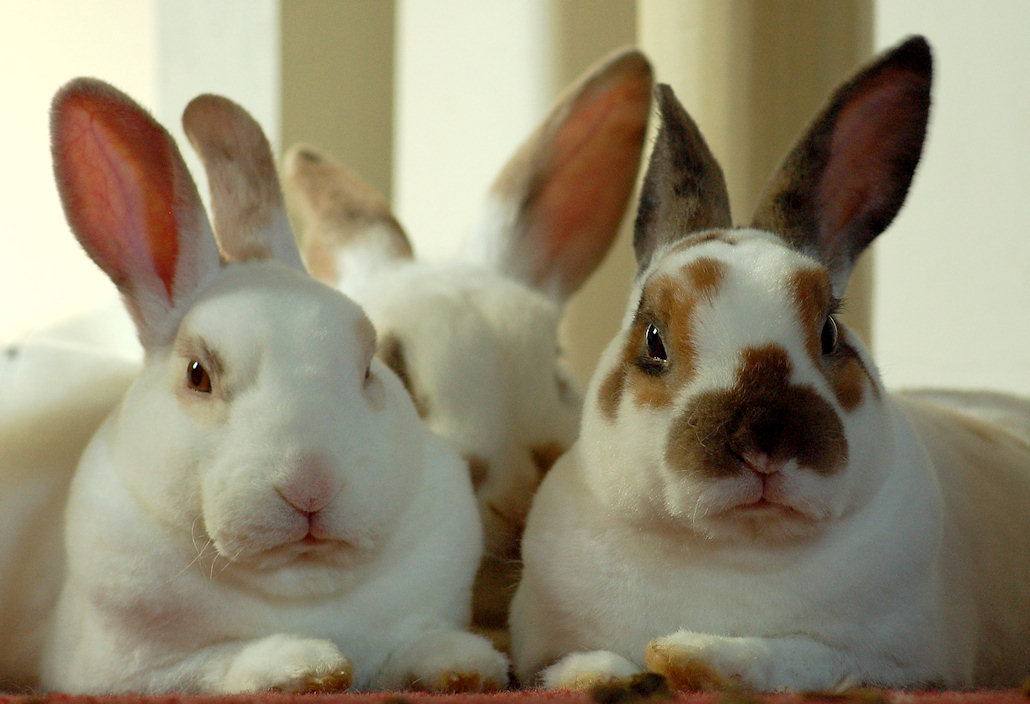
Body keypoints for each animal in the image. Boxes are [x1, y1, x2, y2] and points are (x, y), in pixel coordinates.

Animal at [2, 77, 510, 694]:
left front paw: (466, 662)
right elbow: (215, 663)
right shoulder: (123, 672)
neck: (298, 588)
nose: (311, 483)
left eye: (368, 366)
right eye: (198, 374)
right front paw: (304, 665)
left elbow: (408, 644)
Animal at [508, 35, 1030, 692]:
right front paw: (612, 673)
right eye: (654, 340)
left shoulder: (901, 664)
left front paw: (689, 652)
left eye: (830, 331)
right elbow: (569, 666)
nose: (765, 443)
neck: (739, 551)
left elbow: (792, 659)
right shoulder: (534, 648)